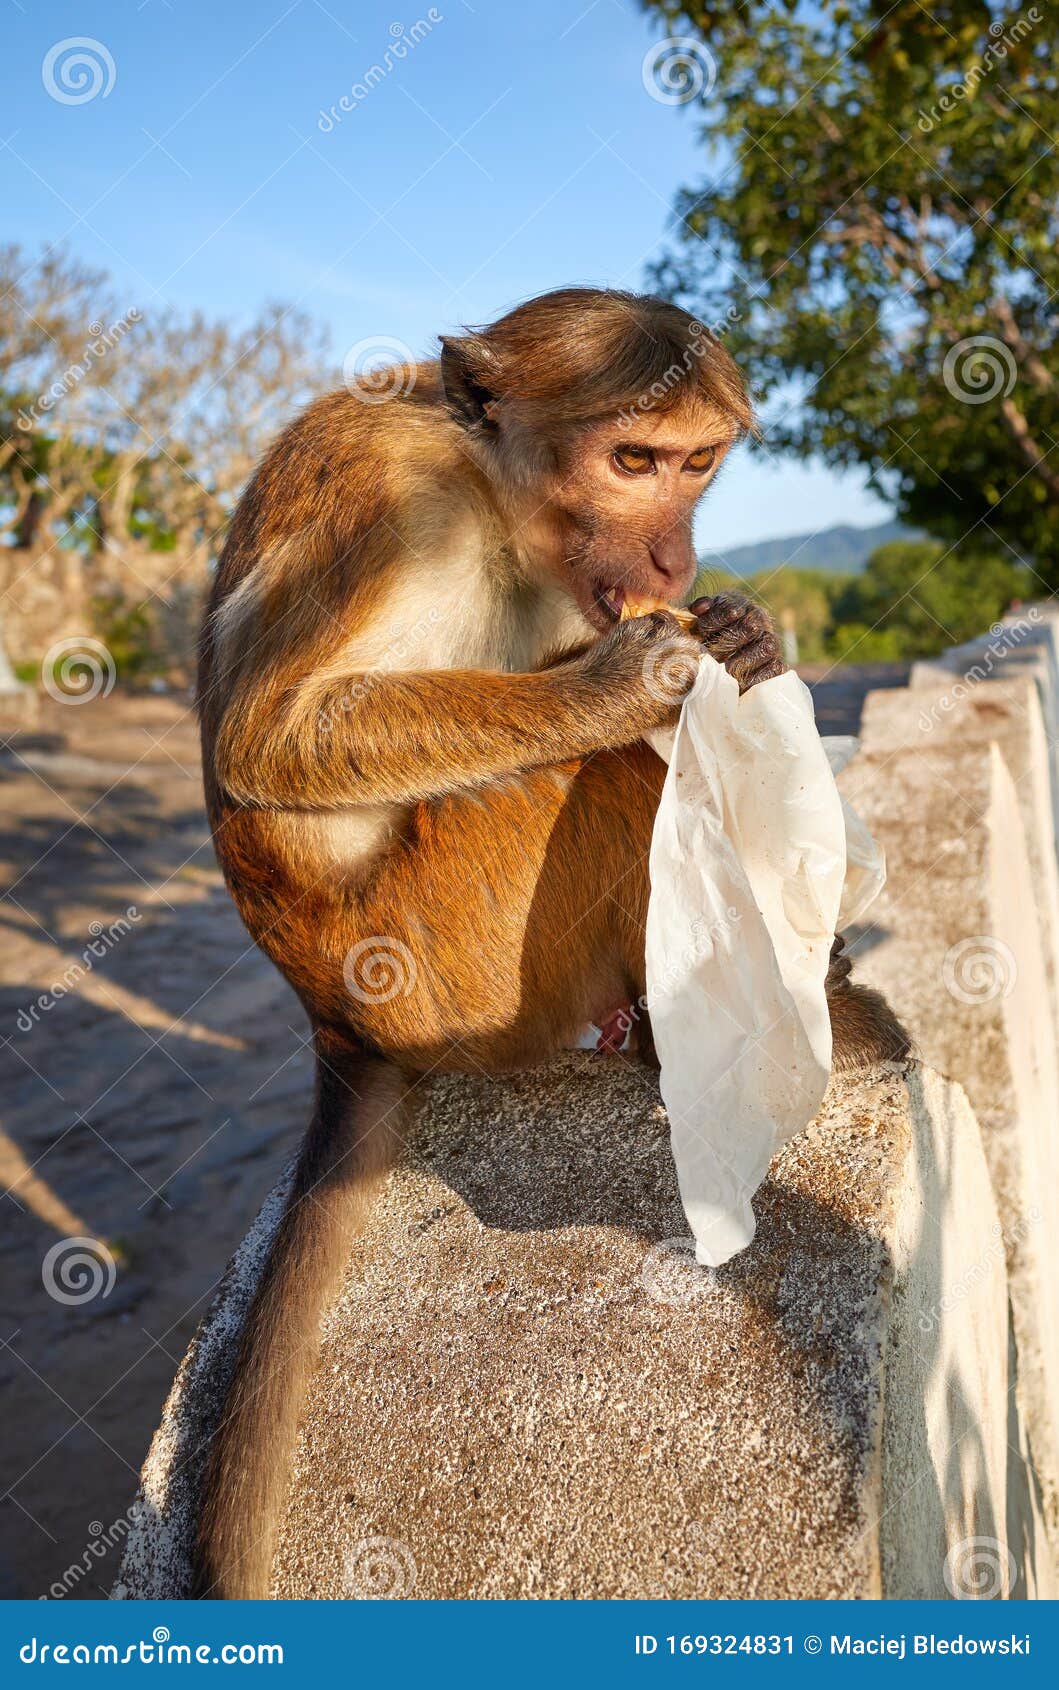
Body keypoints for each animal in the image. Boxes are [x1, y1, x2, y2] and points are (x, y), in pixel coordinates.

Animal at [194, 287, 908, 1599]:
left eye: (694, 463)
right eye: (631, 461)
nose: (674, 556)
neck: (488, 493)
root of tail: (332, 1018)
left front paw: (743, 631)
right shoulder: (388, 494)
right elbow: (271, 737)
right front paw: (625, 678)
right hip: (447, 942)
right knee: (600, 772)